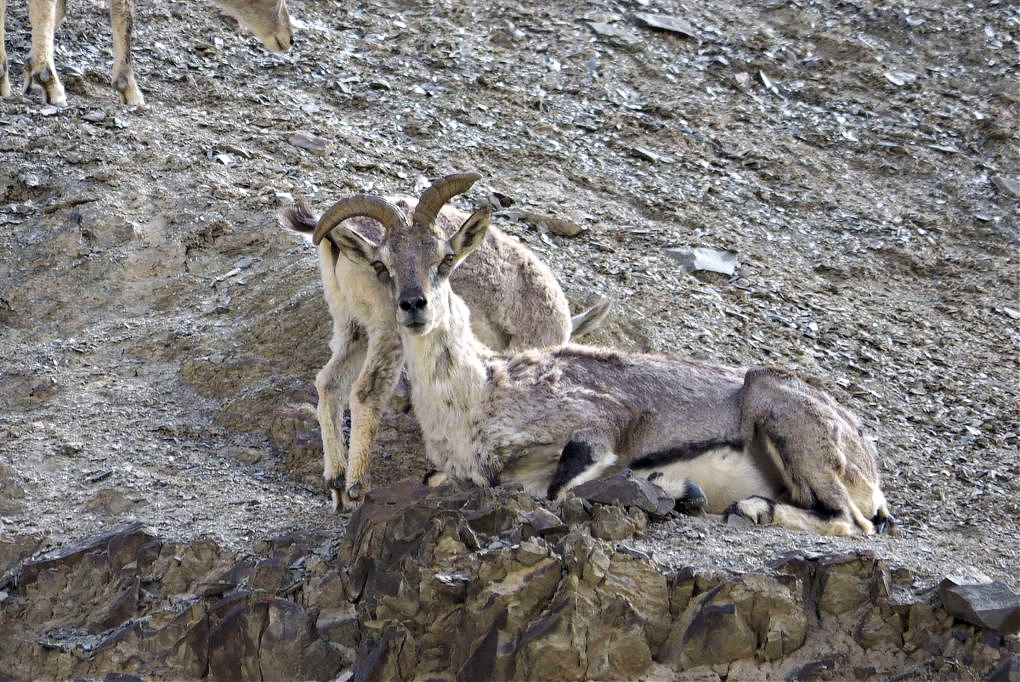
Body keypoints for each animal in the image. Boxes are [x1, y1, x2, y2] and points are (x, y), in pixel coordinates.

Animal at [279, 173, 611, 511]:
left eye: (446, 258)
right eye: (383, 264)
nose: (414, 302)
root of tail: (334, 236)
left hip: (350, 324)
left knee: (329, 382)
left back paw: (337, 483)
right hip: (387, 327)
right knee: (367, 391)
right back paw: (357, 486)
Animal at [319, 174, 897, 537]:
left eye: (444, 258)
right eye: (382, 265)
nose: (414, 306)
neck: (477, 391)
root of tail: (863, 456)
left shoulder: (598, 424)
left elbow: (558, 488)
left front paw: (678, 489)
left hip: (787, 425)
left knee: (852, 523)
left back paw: (747, 508)